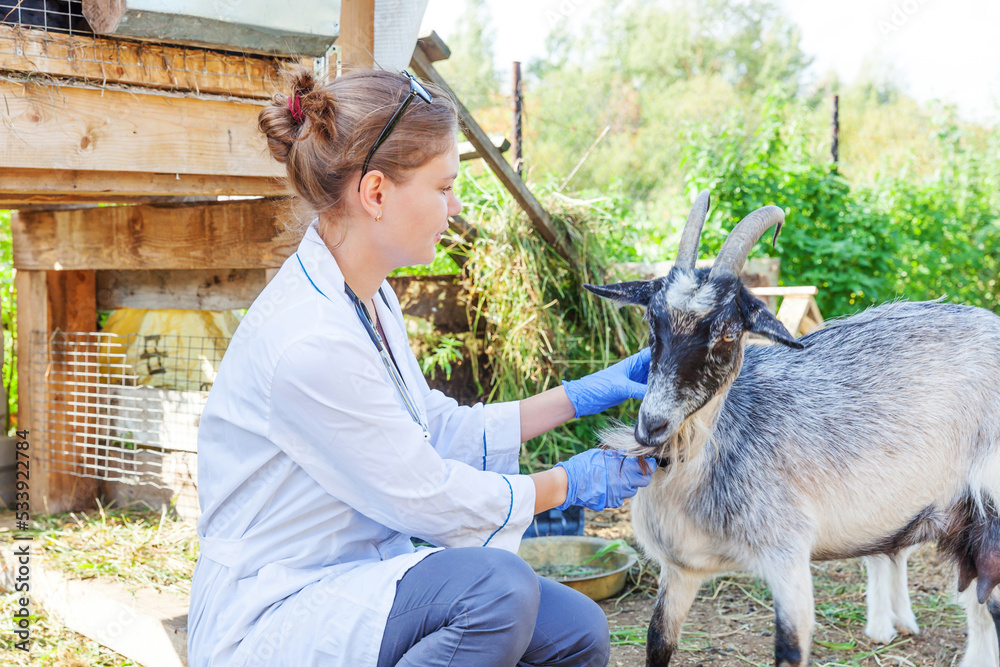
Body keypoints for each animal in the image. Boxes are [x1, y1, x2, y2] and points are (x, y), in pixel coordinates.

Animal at [588, 191, 1000, 667]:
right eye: (652, 323)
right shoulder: (681, 569)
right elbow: (657, 642)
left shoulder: (787, 556)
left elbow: (789, 648)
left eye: (729, 334)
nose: (652, 425)